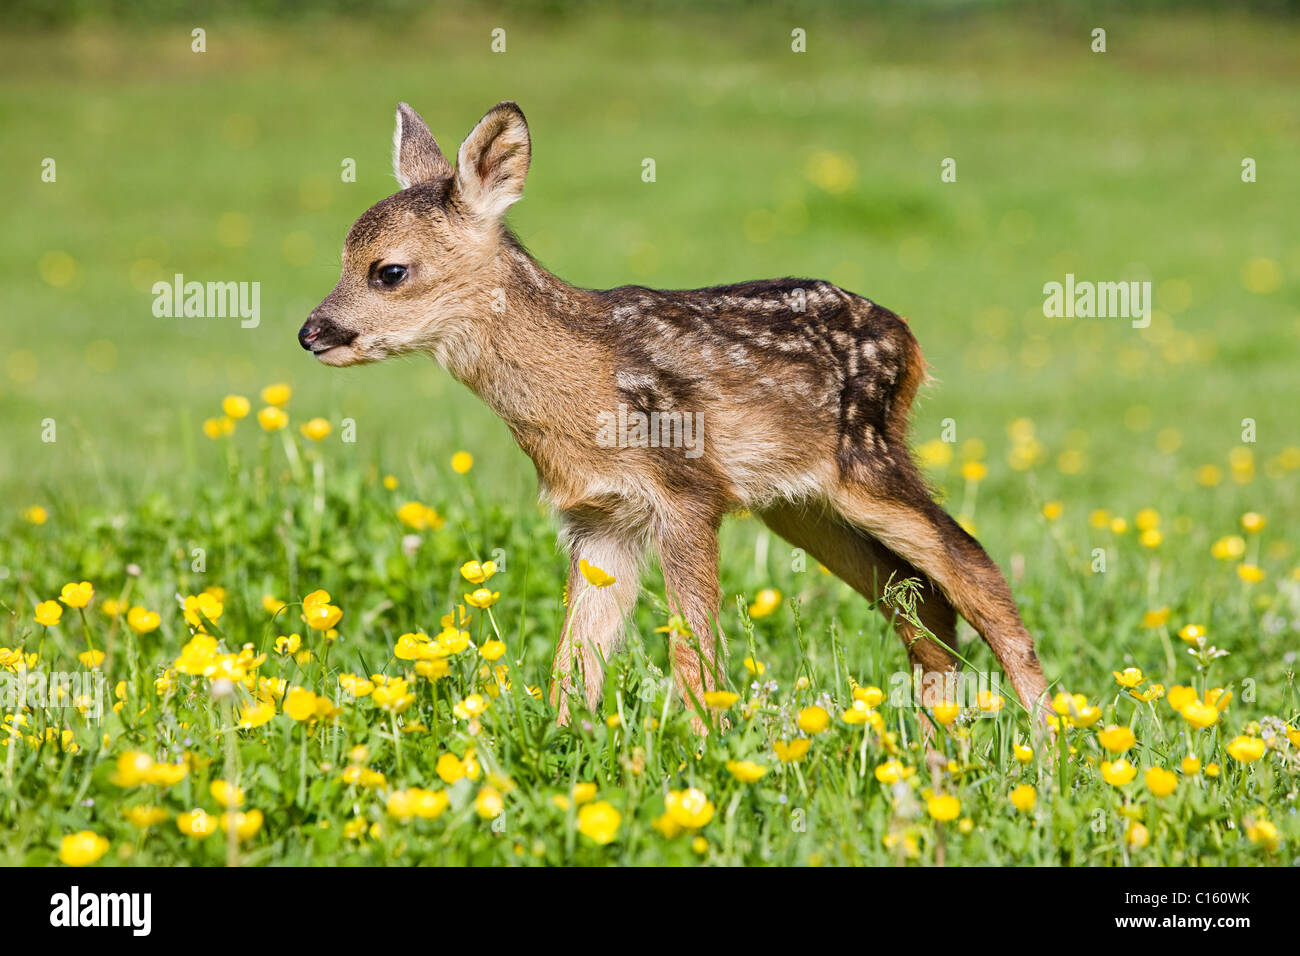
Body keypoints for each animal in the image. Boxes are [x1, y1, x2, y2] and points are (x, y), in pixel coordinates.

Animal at [299, 101, 1051, 736]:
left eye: (389, 271)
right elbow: (576, 658)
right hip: (799, 504)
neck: (583, 387)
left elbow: (694, 646)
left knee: (976, 570)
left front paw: (701, 750)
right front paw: (564, 750)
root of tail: (910, 341)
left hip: (865, 459)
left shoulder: (686, 491)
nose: (311, 333)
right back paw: (935, 761)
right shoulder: (599, 516)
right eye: (339, 258)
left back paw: (1048, 752)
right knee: (923, 603)